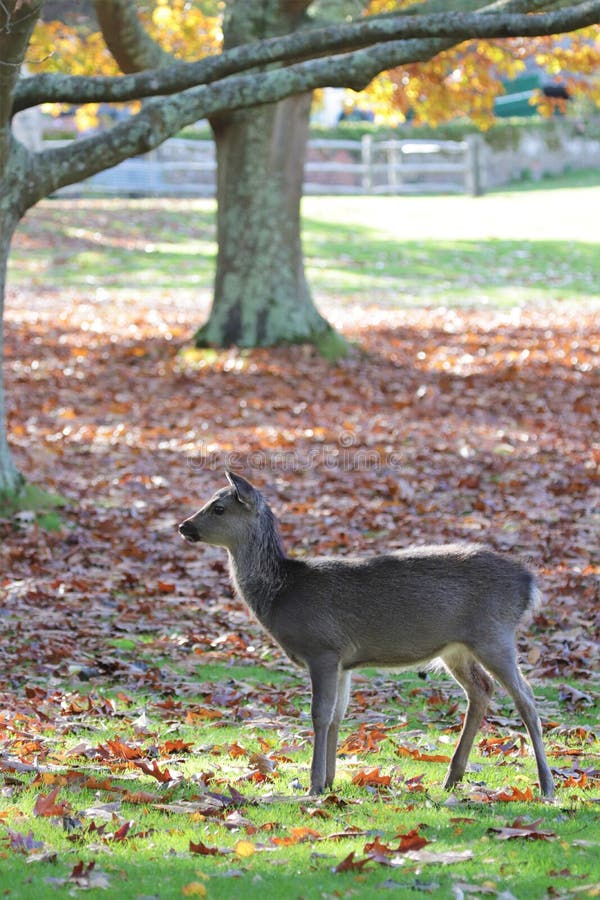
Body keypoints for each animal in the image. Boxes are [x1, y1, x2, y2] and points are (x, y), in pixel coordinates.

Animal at [179, 470, 554, 798]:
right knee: (481, 690)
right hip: (457, 649)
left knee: (526, 697)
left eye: (218, 507)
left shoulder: (322, 648)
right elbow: (337, 716)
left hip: (494, 634)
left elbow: (319, 714)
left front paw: (313, 785)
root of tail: (529, 584)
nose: (184, 526)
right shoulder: (343, 661)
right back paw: (452, 778)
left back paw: (546, 785)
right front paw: (330, 781)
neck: (281, 594)